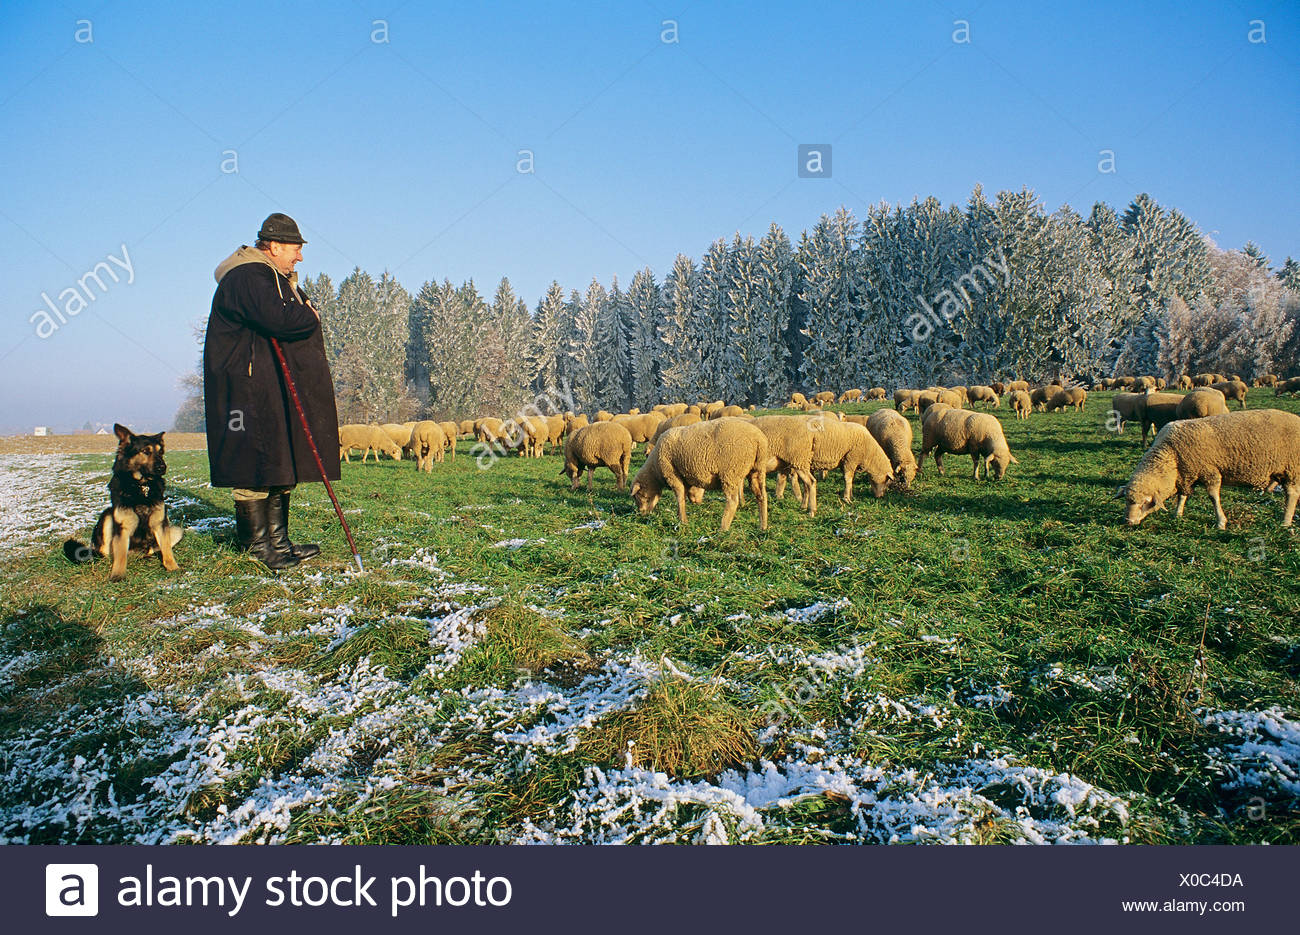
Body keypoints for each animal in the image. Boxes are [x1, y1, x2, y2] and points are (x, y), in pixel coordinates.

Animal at [631, 417, 769, 531]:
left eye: (638, 495)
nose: (641, 514)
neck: (654, 469)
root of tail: (758, 439)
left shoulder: (672, 475)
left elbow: (680, 497)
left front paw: (683, 521)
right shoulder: (686, 477)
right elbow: (687, 495)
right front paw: (687, 510)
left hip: (731, 472)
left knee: (733, 501)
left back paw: (723, 528)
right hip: (757, 470)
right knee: (762, 496)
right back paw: (763, 526)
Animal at [1119, 409, 1300, 529]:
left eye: (1145, 502)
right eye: (1127, 501)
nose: (1129, 522)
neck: (1170, 455)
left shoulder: (1210, 472)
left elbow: (1213, 497)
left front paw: (1221, 522)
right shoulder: (1187, 473)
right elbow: (1182, 495)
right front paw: (1177, 513)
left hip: (1293, 469)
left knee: (1292, 495)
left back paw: (1285, 522)